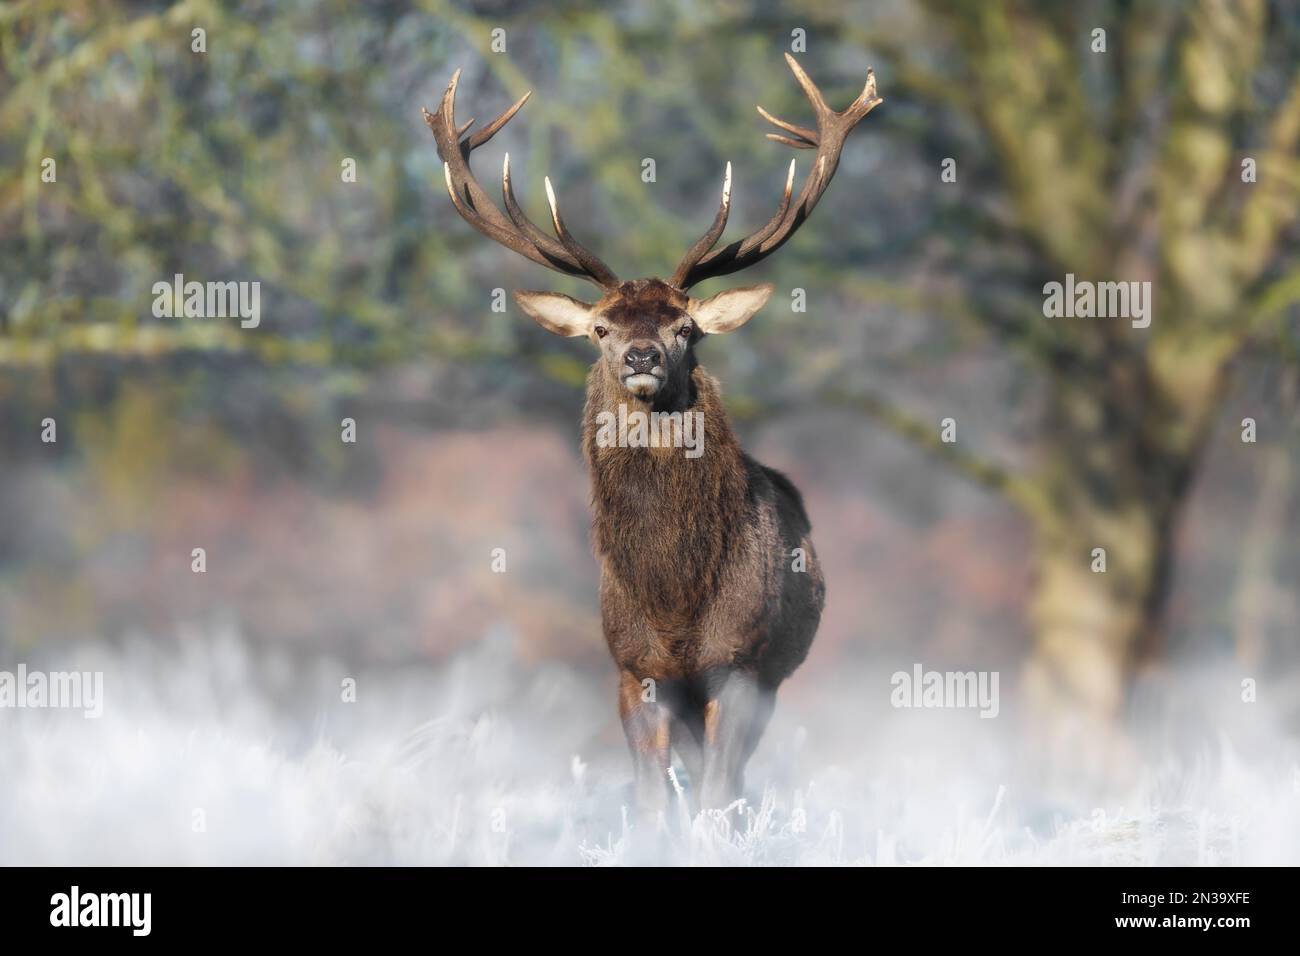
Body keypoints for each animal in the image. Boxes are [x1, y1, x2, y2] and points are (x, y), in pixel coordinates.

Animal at [424, 55, 881, 816]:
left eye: (685, 328)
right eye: (602, 327)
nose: (642, 356)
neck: (674, 601)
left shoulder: (739, 662)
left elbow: (716, 795)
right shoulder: (631, 665)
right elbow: (650, 799)